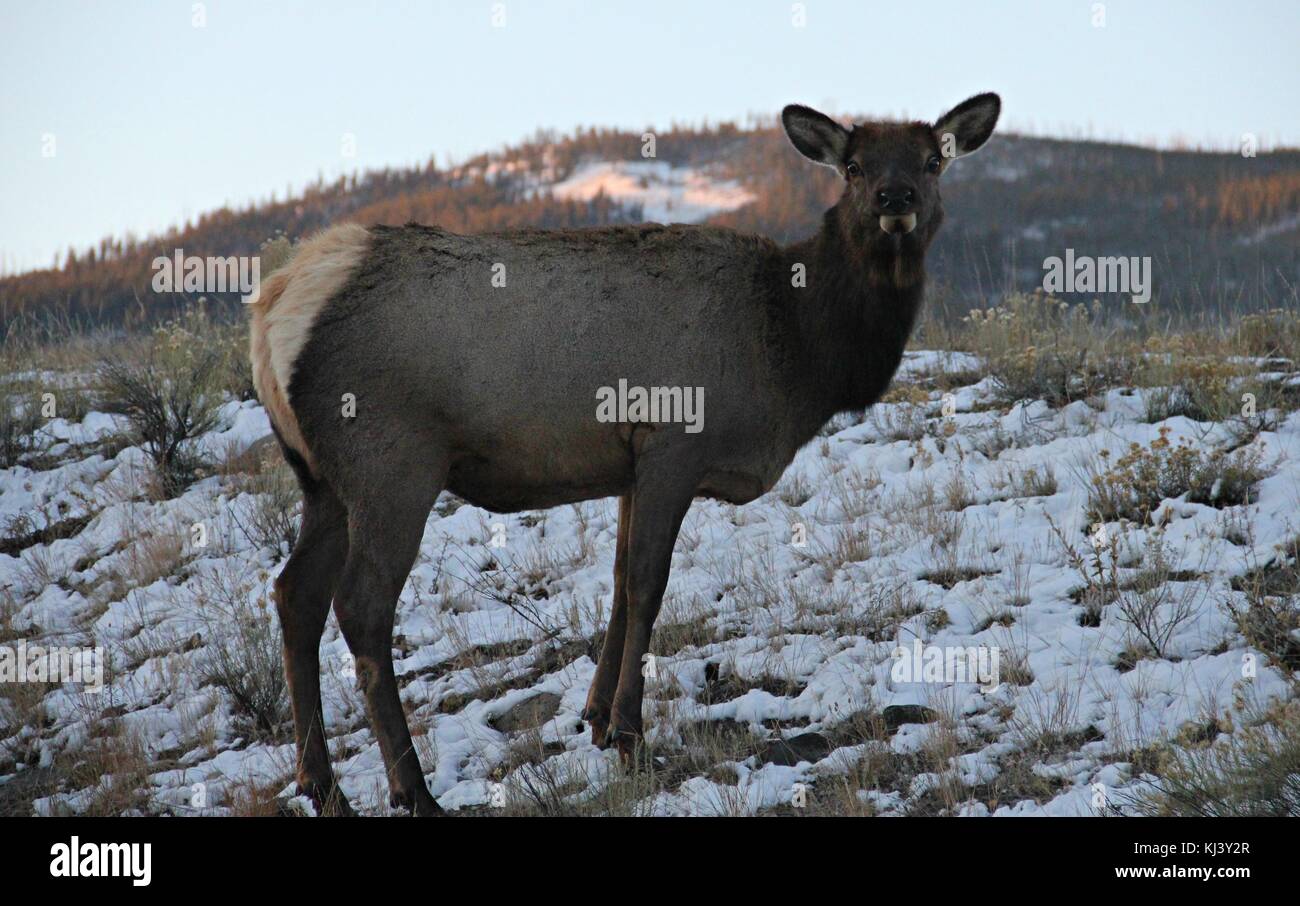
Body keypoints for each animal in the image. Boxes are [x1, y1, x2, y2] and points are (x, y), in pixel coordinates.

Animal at [248, 92, 1001, 815]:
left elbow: (614, 580)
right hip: (392, 463)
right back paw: (413, 790)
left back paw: (321, 784)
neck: (797, 350)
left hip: (321, 481)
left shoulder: (631, 463)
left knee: (295, 594)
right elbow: (647, 585)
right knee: (361, 608)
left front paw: (597, 717)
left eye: (933, 159)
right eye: (853, 166)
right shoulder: (673, 444)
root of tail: (275, 308)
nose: (895, 199)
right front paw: (633, 735)